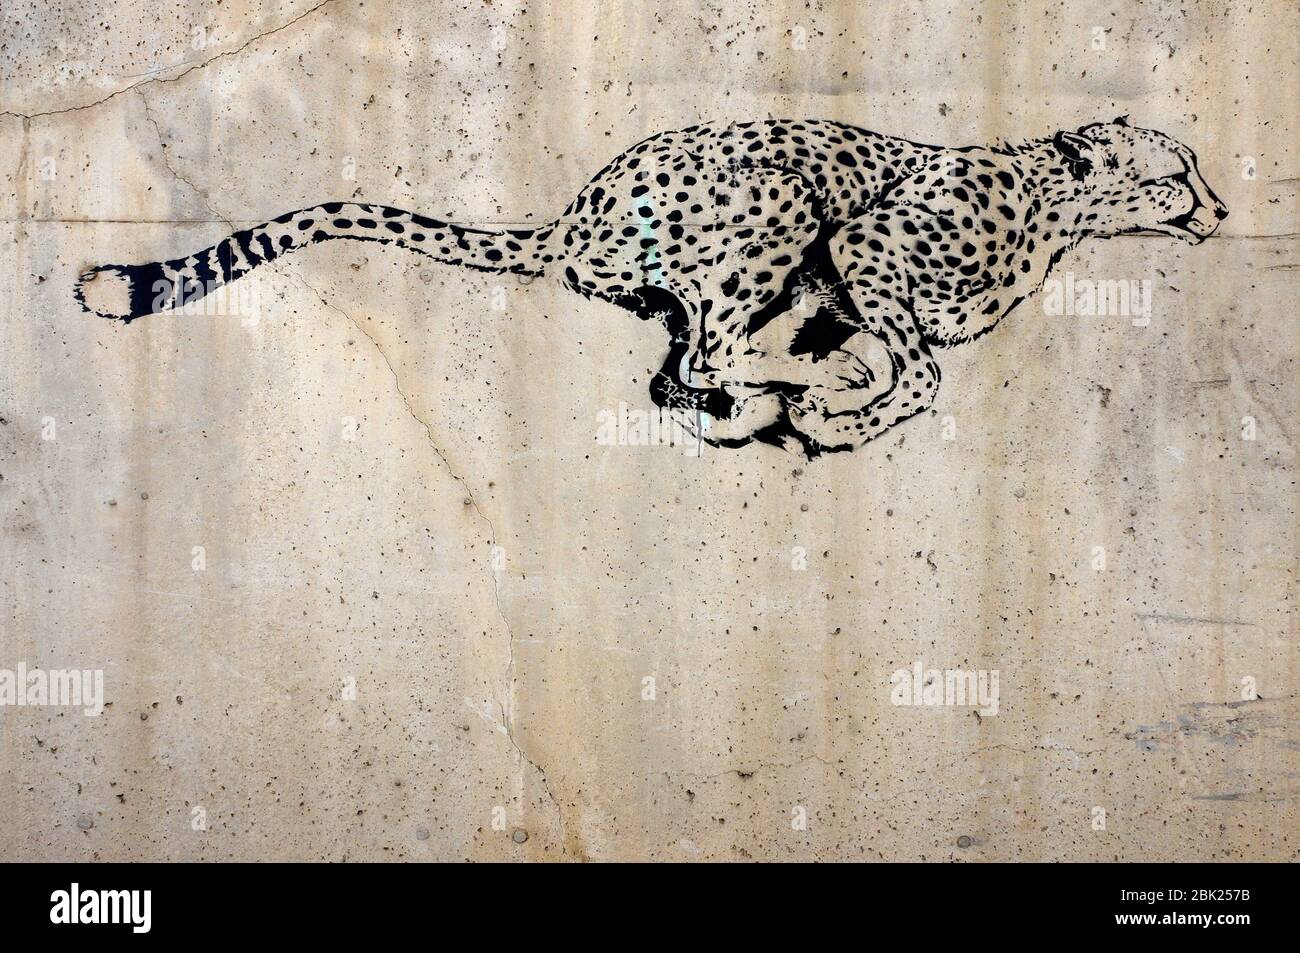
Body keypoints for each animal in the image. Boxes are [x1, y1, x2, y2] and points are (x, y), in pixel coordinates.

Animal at [75, 116, 1227, 456]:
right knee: (708, 347)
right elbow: (922, 370)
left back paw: (766, 396)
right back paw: (791, 394)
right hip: (782, 197)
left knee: (684, 364)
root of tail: (577, 208)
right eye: (1176, 174)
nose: (1218, 211)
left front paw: (832, 388)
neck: (1055, 208)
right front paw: (845, 411)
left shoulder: (845, 284)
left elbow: (896, 353)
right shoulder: (862, 241)